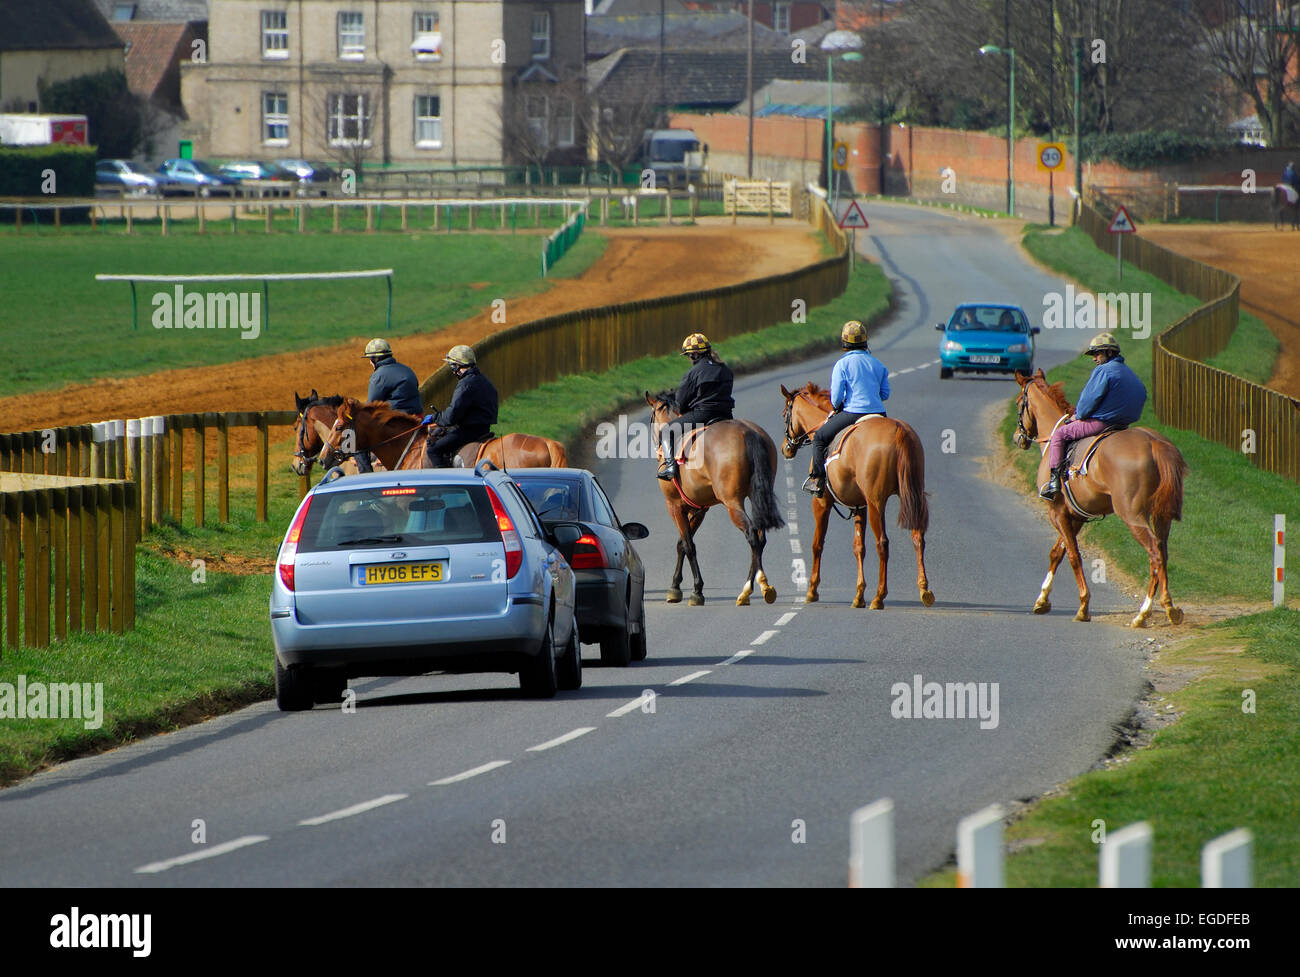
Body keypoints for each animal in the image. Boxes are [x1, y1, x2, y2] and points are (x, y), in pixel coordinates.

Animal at [644, 391, 784, 606]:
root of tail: (747, 431)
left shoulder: (674, 506)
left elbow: (688, 545)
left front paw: (696, 590)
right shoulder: (699, 509)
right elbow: (682, 544)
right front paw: (675, 587)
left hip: (732, 502)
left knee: (752, 535)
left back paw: (751, 588)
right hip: (757, 496)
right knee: (760, 537)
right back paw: (760, 588)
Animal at [779, 383, 933, 609]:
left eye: (785, 415)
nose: (786, 448)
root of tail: (899, 431)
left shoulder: (821, 502)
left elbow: (817, 544)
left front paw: (812, 590)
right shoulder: (860, 505)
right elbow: (859, 547)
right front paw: (859, 594)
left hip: (877, 502)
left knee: (882, 543)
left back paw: (879, 597)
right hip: (913, 495)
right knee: (917, 537)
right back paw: (924, 590)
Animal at [1013, 369, 1187, 627]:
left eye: (1018, 403)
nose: (1017, 437)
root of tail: (1154, 442)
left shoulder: (1057, 512)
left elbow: (1073, 556)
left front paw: (1084, 606)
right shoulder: (1075, 516)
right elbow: (1057, 553)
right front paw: (1042, 599)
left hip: (1133, 516)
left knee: (1154, 553)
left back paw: (1150, 611)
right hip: (1161, 516)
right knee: (1162, 553)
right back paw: (1162, 608)